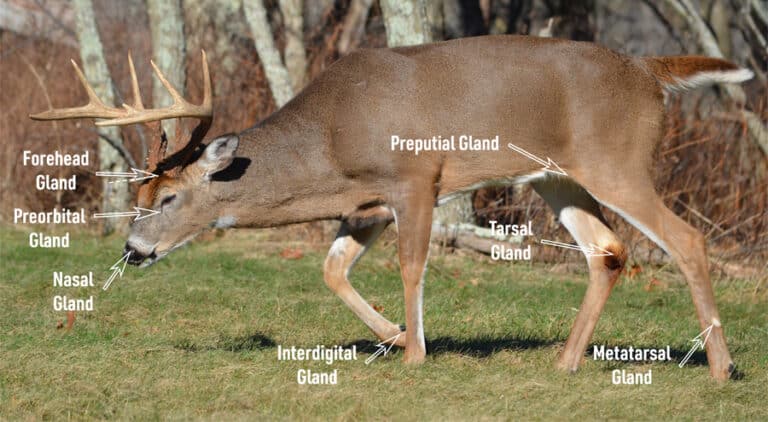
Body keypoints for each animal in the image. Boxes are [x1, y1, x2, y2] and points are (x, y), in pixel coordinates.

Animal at [31, 35, 754, 381]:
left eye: (170, 197)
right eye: (136, 195)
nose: (133, 250)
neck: (330, 141)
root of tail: (650, 74)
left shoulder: (416, 176)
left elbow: (411, 267)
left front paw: (414, 355)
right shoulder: (367, 201)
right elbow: (331, 269)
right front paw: (400, 336)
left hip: (617, 161)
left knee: (686, 240)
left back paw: (721, 370)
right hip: (557, 177)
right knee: (607, 250)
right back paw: (566, 362)